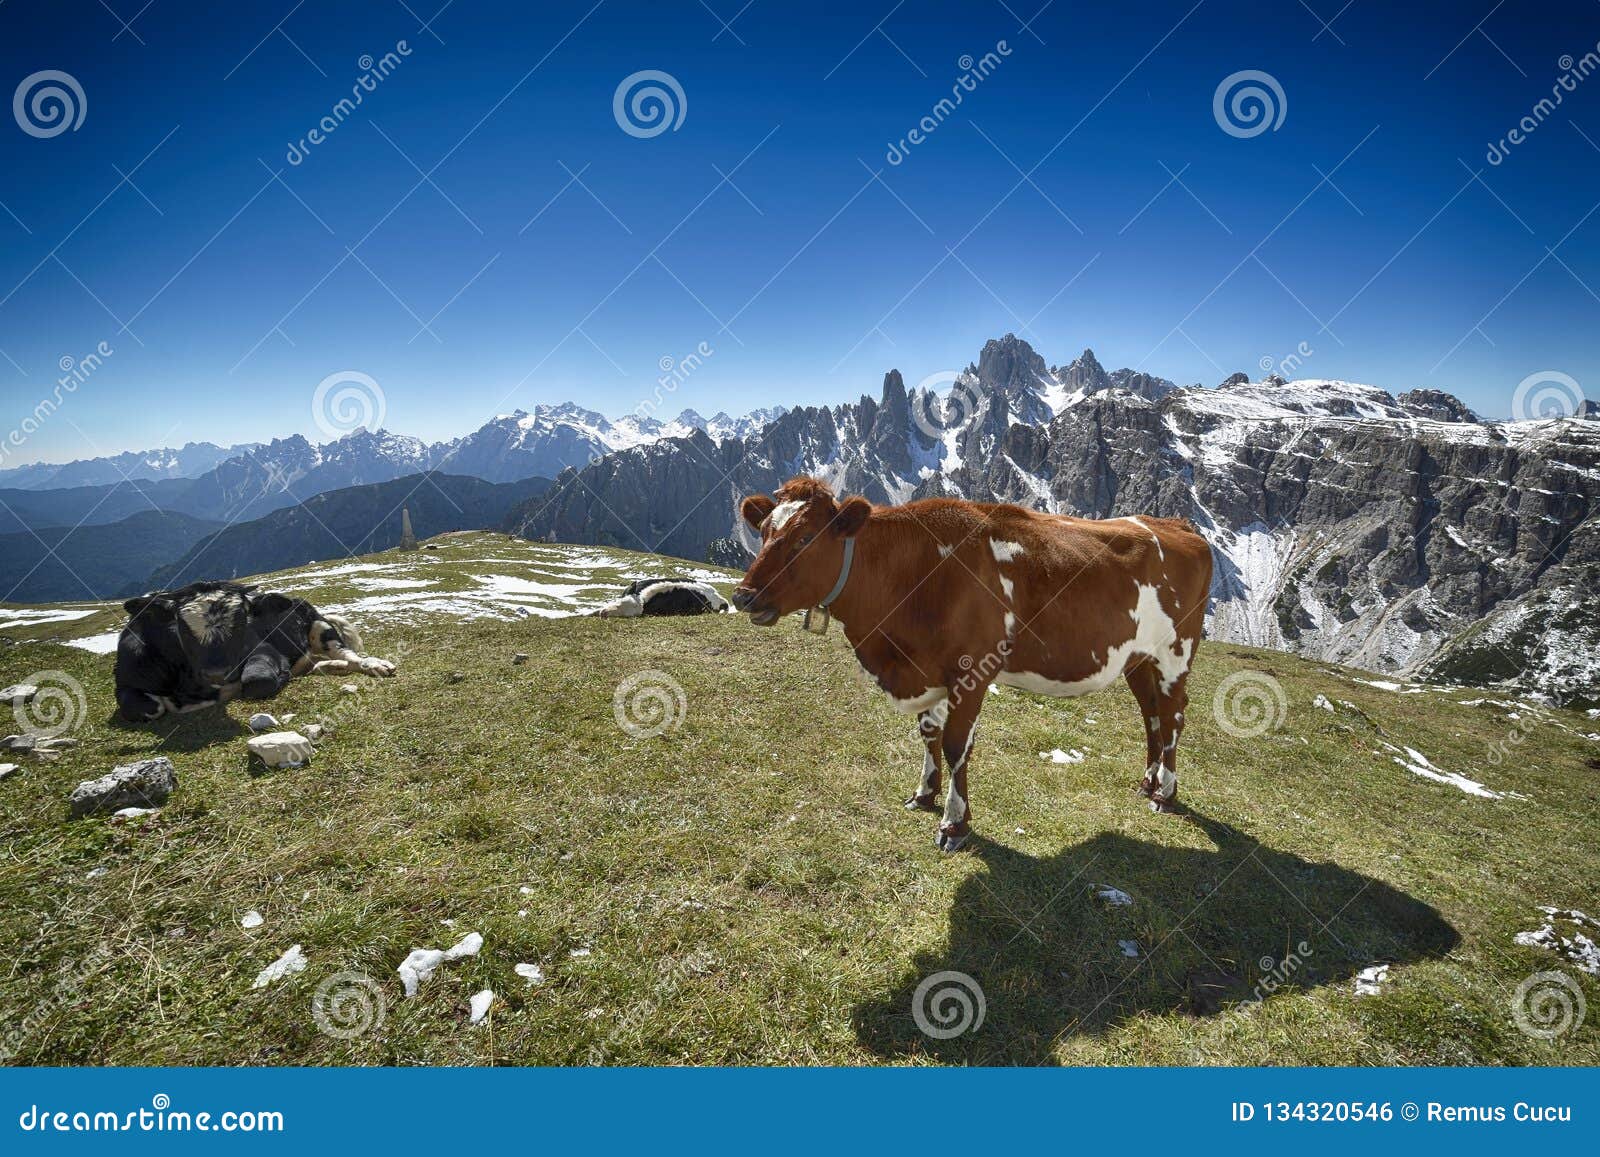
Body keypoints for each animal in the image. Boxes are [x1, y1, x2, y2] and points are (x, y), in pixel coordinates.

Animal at [114, 581, 396, 723]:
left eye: (242, 622)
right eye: (181, 626)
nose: (218, 674)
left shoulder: (263, 650)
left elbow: (256, 681)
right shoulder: (125, 681)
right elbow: (144, 707)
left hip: (321, 628)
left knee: (350, 655)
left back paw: (375, 665)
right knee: (317, 664)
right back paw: (329, 667)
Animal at [731, 477, 1211, 852]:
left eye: (805, 538)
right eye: (764, 533)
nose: (743, 596)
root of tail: (1174, 524)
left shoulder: (971, 671)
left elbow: (955, 745)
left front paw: (954, 824)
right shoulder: (928, 671)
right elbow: (928, 733)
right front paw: (924, 795)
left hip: (1177, 652)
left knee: (1173, 716)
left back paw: (1166, 794)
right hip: (1138, 660)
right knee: (1151, 715)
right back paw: (1147, 783)